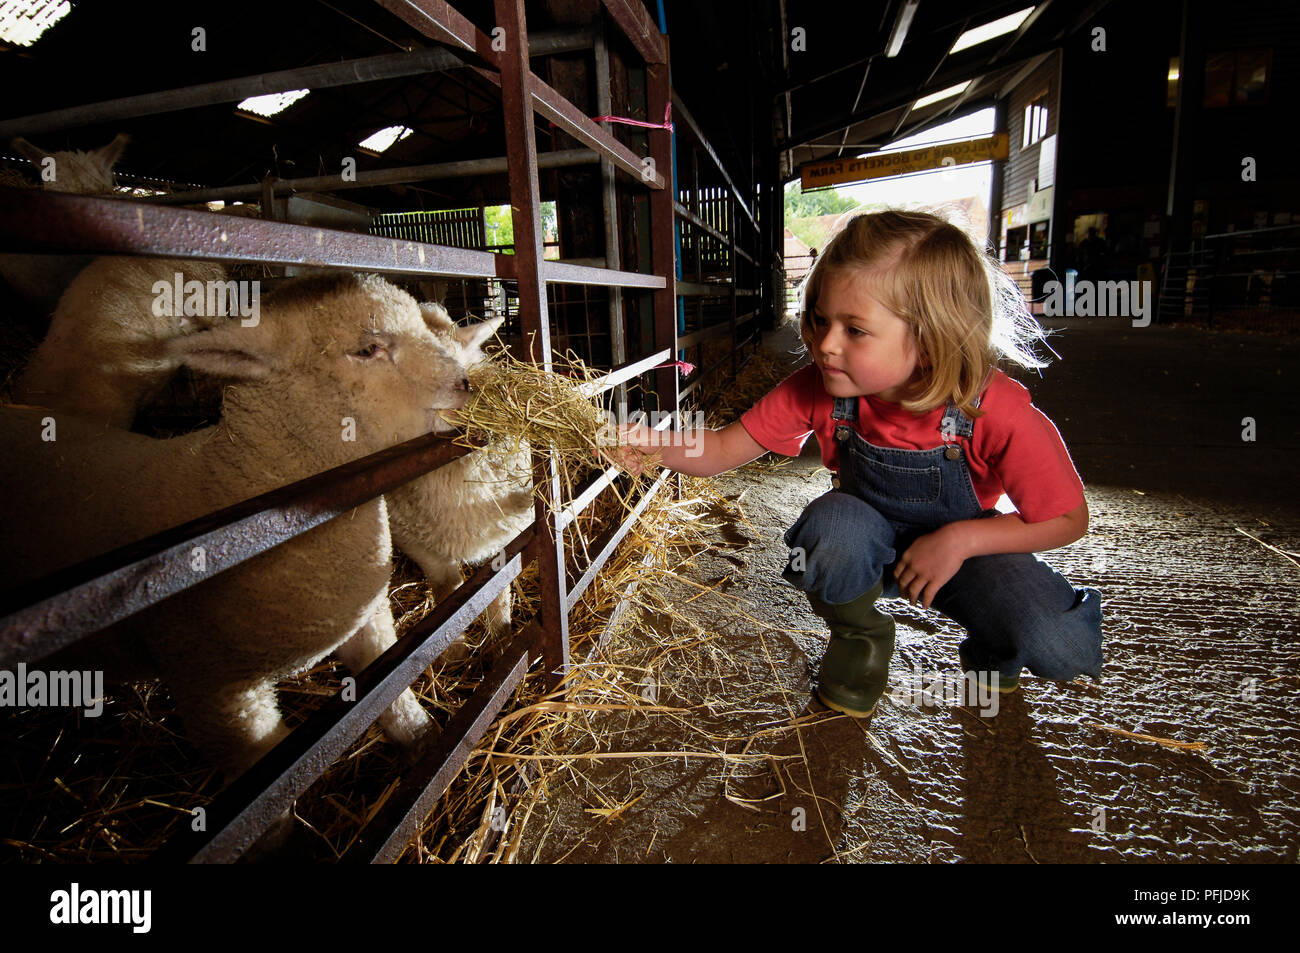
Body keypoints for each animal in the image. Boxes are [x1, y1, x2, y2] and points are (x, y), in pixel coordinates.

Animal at [0, 273, 469, 781]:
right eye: (367, 349)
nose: (467, 384)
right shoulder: (219, 697)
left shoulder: (368, 620)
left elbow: (394, 692)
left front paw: (425, 744)